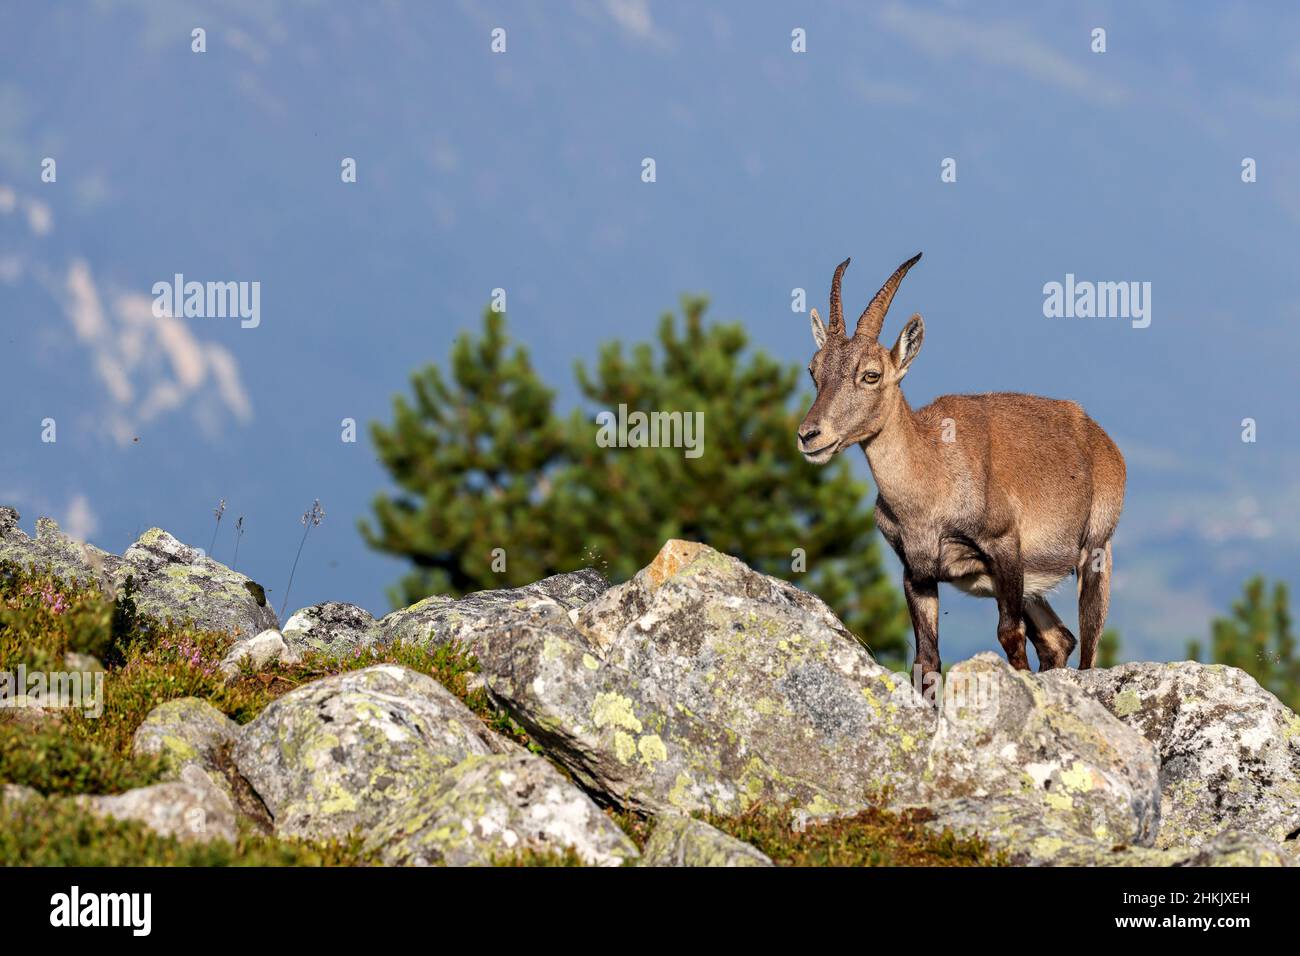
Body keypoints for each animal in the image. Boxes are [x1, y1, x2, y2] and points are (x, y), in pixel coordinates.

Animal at [797, 254, 1125, 685]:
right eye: (813, 370)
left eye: (871, 374)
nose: (809, 435)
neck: (930, 479)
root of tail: (1101, 439)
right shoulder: (917, 571)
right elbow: (926, 659)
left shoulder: (1005, 546)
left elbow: (1009, 633)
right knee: (1058, 639)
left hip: (1096, 548)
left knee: (1088, 644)